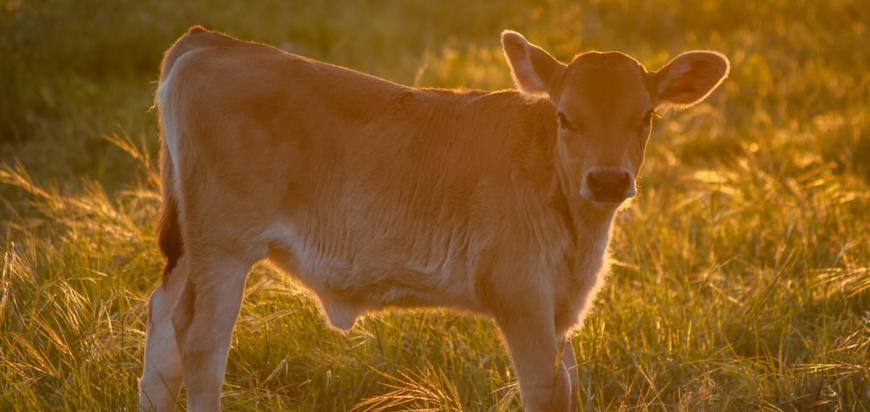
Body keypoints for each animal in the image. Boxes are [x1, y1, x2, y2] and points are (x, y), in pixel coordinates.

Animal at [139, 26, 729, 412]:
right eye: (565, 117)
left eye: (646, 116)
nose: (607, 180)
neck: (577, 234)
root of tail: (211, 41)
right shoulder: (519, 294)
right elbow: (544, 390)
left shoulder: (560, 308)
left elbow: (568, 388)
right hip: (223, 248)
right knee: (201, 342)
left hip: (191, 250)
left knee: (163, 327)